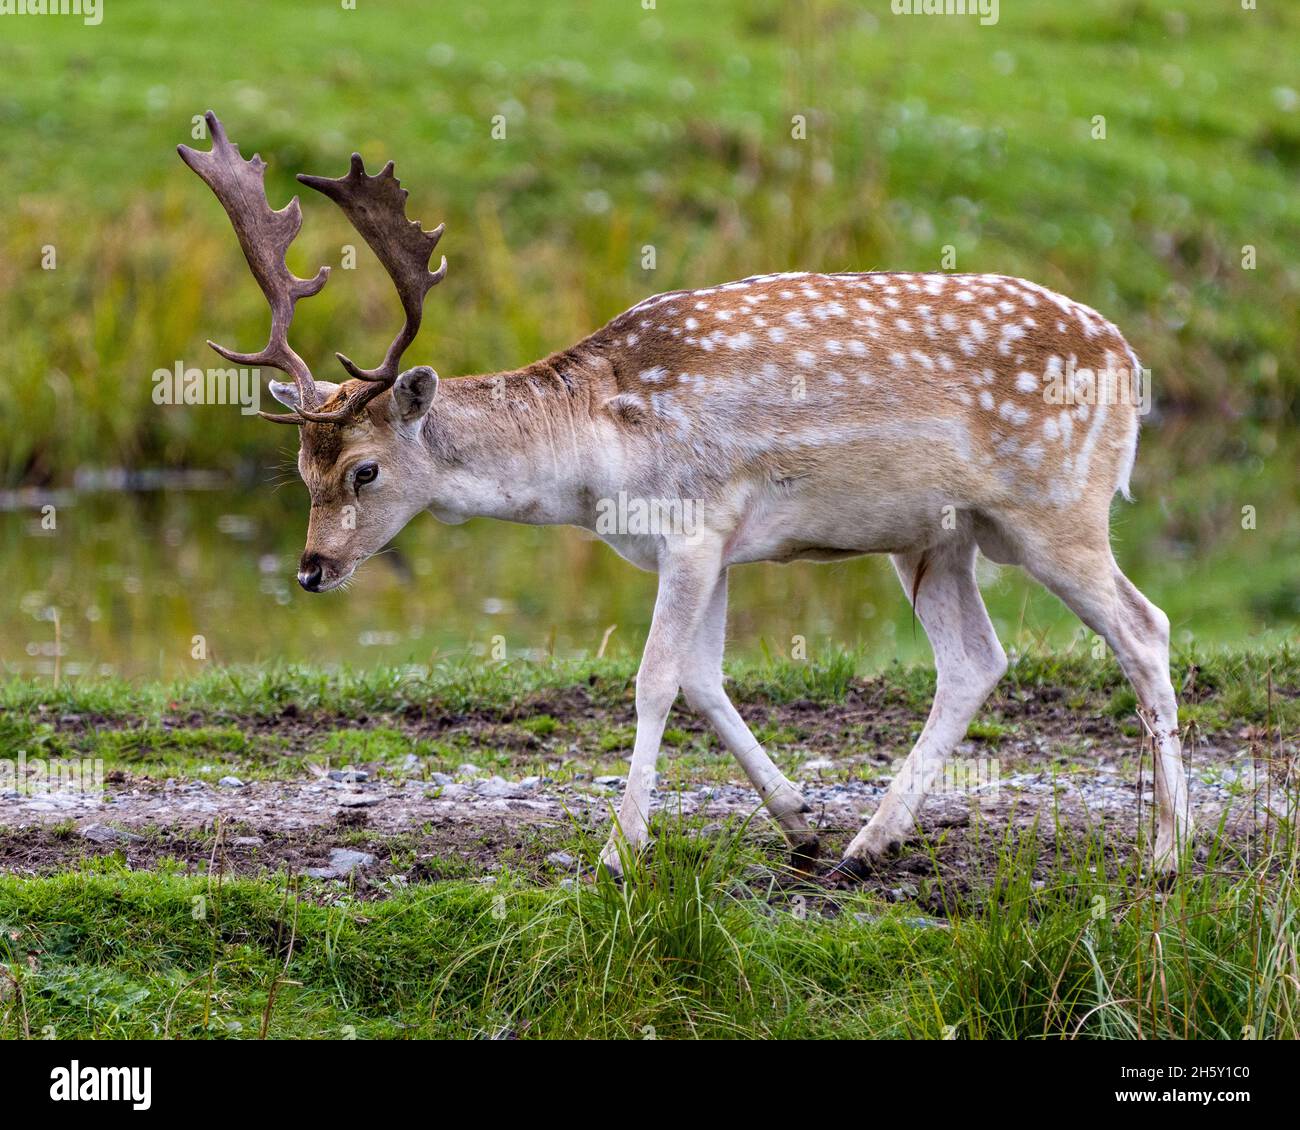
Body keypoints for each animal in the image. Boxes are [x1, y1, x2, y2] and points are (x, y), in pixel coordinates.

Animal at [179, 112, 1192, 881]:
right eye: (300, 468)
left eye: (366, 469)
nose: (312, 569)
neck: (600, 449)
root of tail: (1131, 359)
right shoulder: (716, 547)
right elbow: (705, 679)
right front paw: (801, 822)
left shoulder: (697, 526)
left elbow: (656, 678)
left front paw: (618, 853)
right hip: (941, 537)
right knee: (977, 659)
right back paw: (868, 843)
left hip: (1057, 507)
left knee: (1145, 628)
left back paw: (1165, 858)